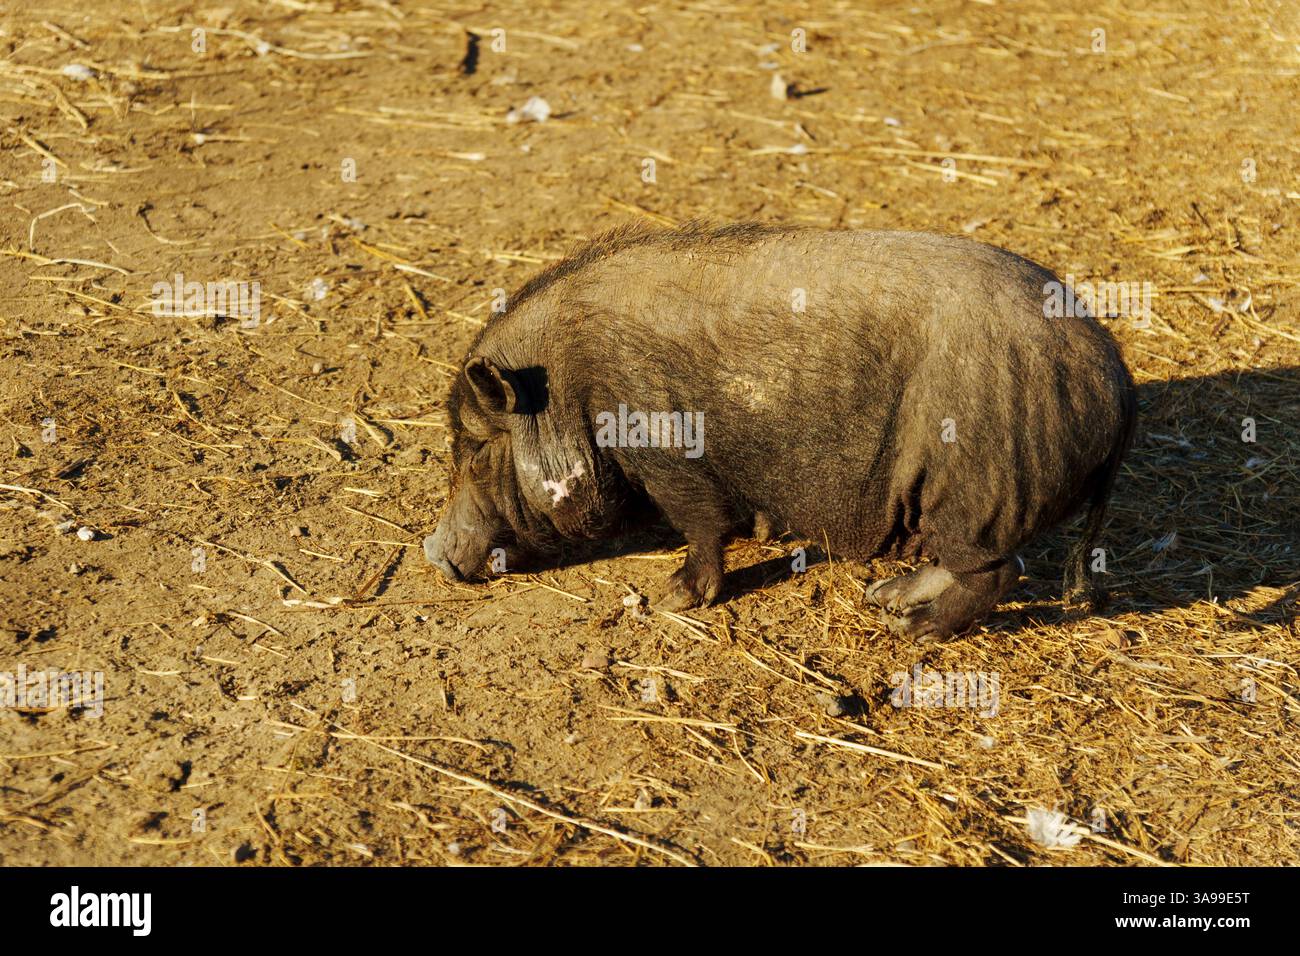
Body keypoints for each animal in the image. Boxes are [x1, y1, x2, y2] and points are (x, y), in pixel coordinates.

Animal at [425, 223, 1136, 642]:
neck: (572, 384)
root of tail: (1116, 375)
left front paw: (670, 599)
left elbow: (703, 525)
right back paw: (886, 597)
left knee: (1000, 568)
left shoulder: (669, 455)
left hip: (975, 488)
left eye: (478, 450)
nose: (433, 552)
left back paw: (910, 630)